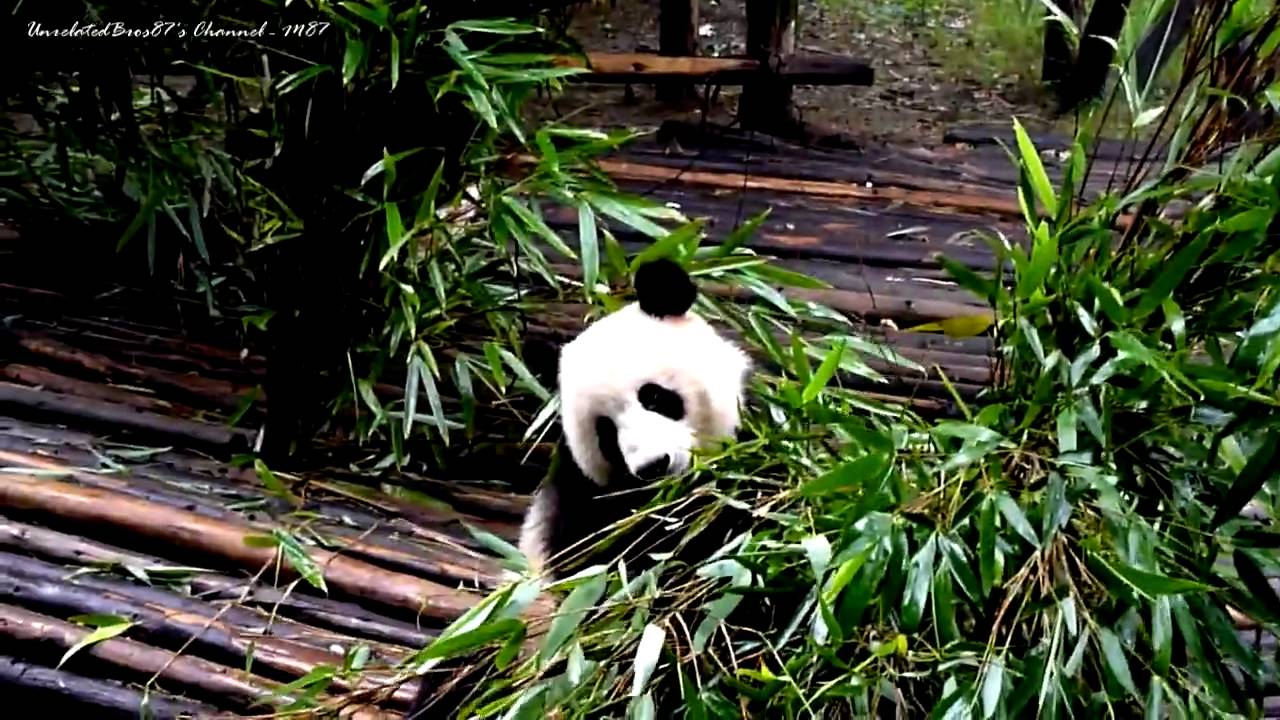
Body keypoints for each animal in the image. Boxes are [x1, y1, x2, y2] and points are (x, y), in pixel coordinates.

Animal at [405, 258, 755, 718]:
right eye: (606, 433)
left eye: (655, 397)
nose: (653, 467)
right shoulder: (581, 502)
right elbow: (605, 576)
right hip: (507, 629)